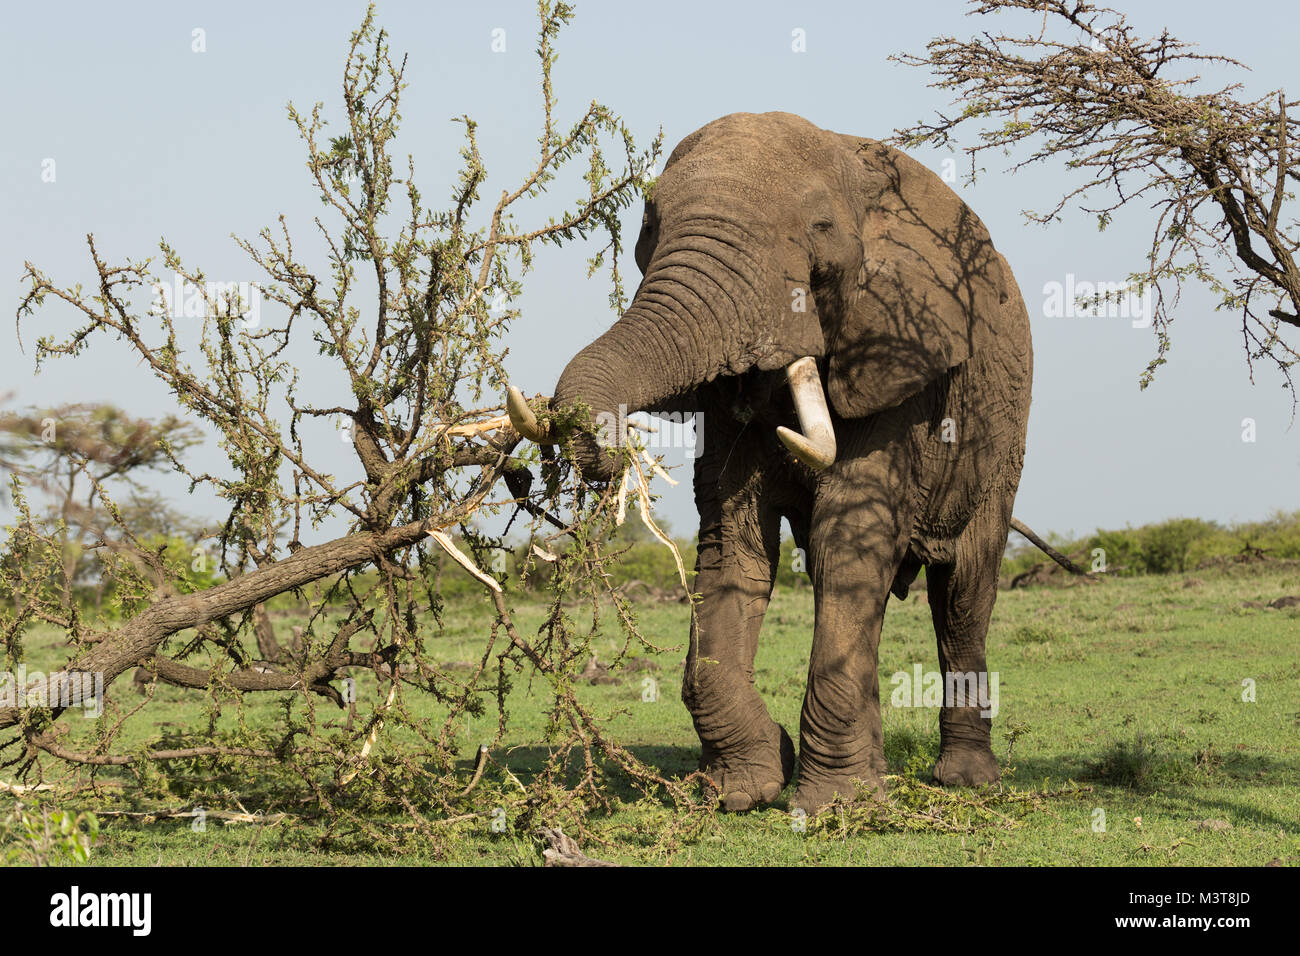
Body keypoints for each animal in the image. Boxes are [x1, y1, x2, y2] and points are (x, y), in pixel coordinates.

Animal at [506, 111, 1035, 813]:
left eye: (820, 228)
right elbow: (732, 546)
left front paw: (836, 805)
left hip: (1005, 434)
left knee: (963, 591)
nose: (604, 447)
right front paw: (744, 789)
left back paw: (966, 780)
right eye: (649, 225)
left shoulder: (898, 352)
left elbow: (850, 536)